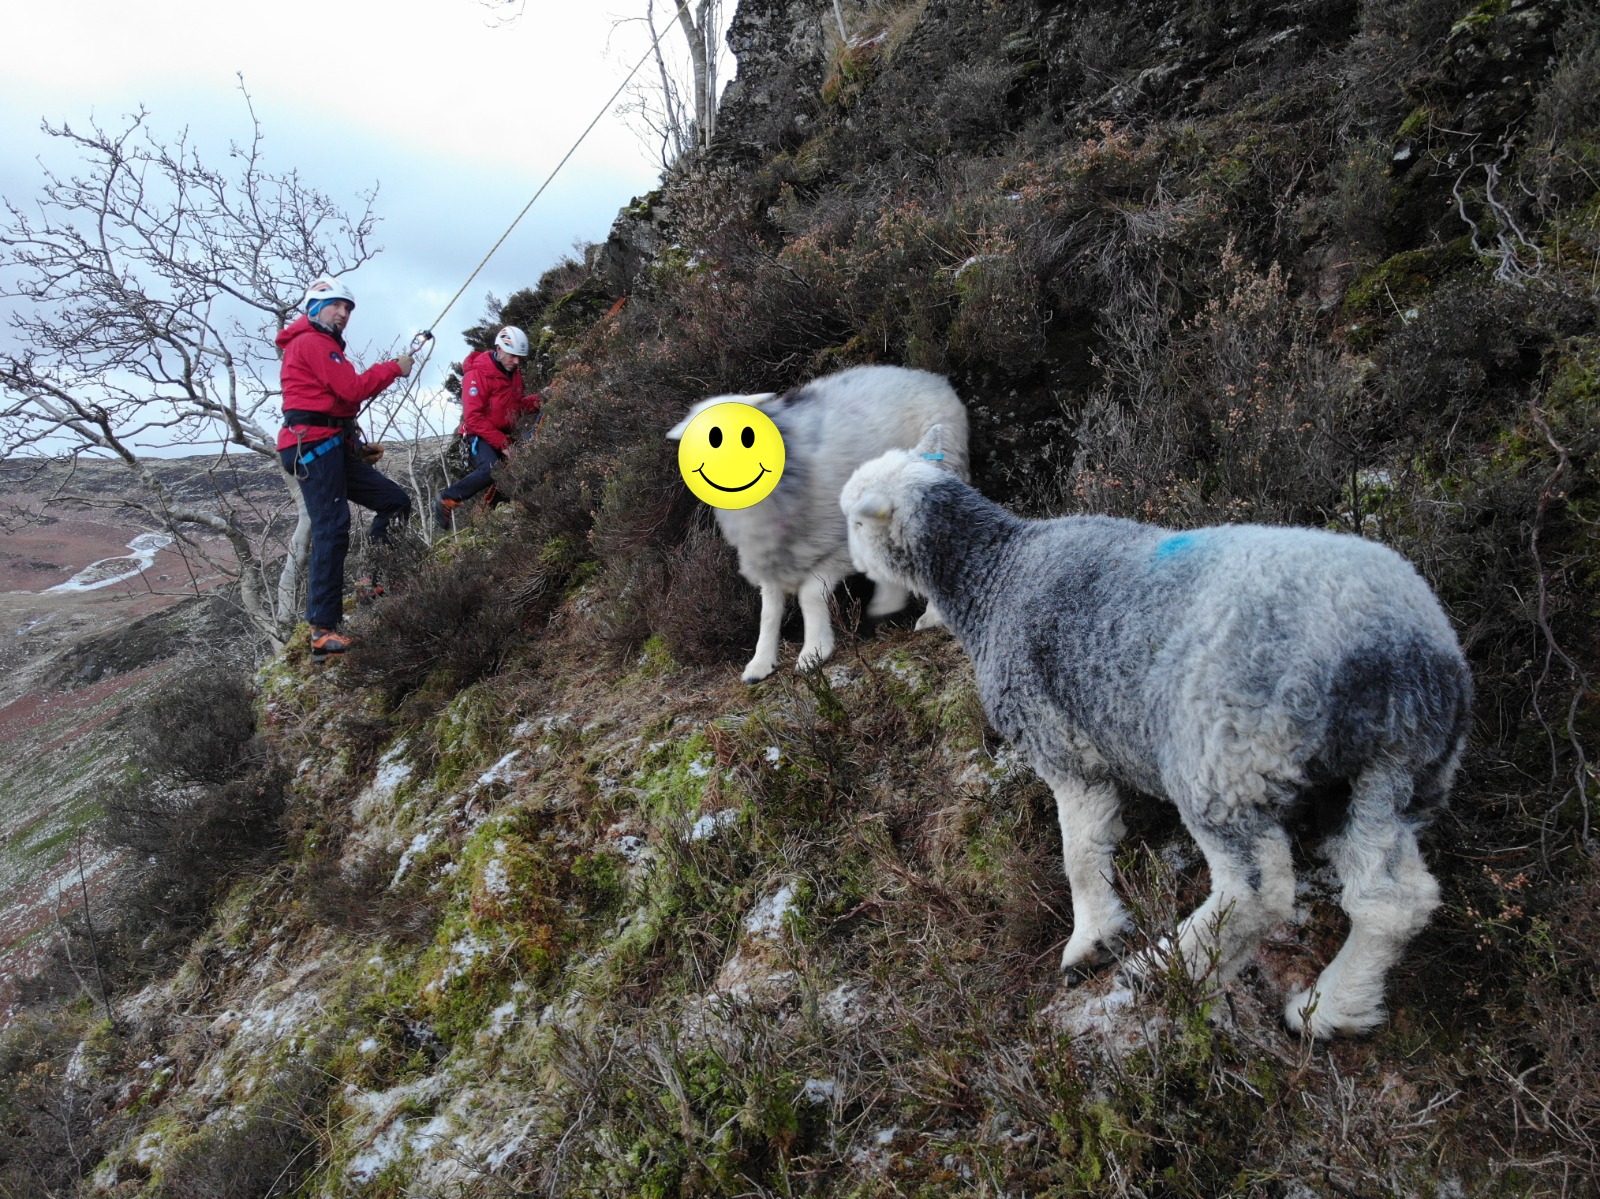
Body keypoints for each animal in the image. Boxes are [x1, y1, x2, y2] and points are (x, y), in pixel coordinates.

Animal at [668, 365, 970, 683]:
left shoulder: (836, 544)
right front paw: (760, 664)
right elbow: (769, 611)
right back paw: (888, 603)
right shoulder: (770, 553)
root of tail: (926, 375)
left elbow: (809, 594)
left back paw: (931, 614)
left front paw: (813, 652)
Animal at [840, 426, 1472, 1038]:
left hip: (1225, 760)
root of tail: (1388, 648)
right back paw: (1335, 1009)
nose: (855, 573)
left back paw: (1168, 968)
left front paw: (1091, 939)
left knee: (1257, 893)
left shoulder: (1061, 745)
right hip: (1398, 767)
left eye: (852, 520)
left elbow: (1080, 851)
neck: (995, 572)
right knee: (1392, 899)